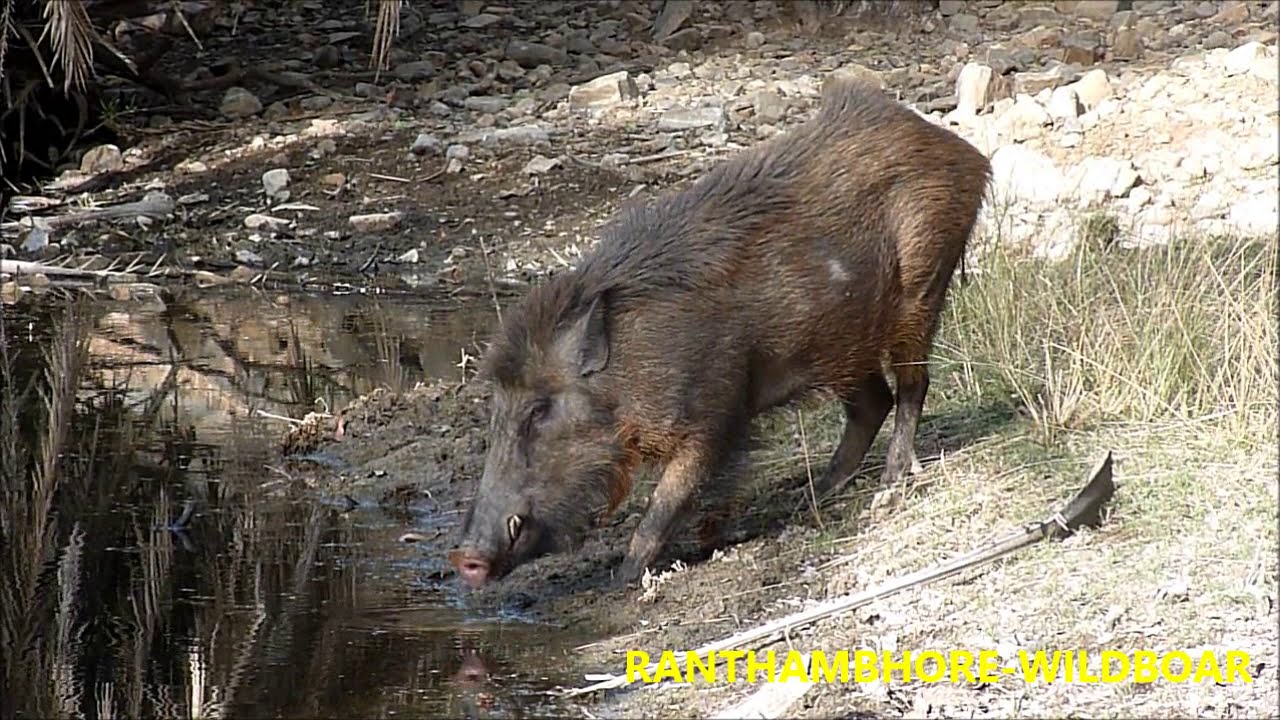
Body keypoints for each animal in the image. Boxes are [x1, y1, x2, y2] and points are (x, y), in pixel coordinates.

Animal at [448, 74, 993, 589]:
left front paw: (621, 581)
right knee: (872, 402)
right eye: (495, 409)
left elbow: (667, 502)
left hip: (921, 291)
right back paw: (811, 492)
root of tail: (966, 154)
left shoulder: (713, 416)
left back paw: (888, 485)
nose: (465, 558)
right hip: (842, 341)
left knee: (912, 387)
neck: (625, 371)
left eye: (540, 410)